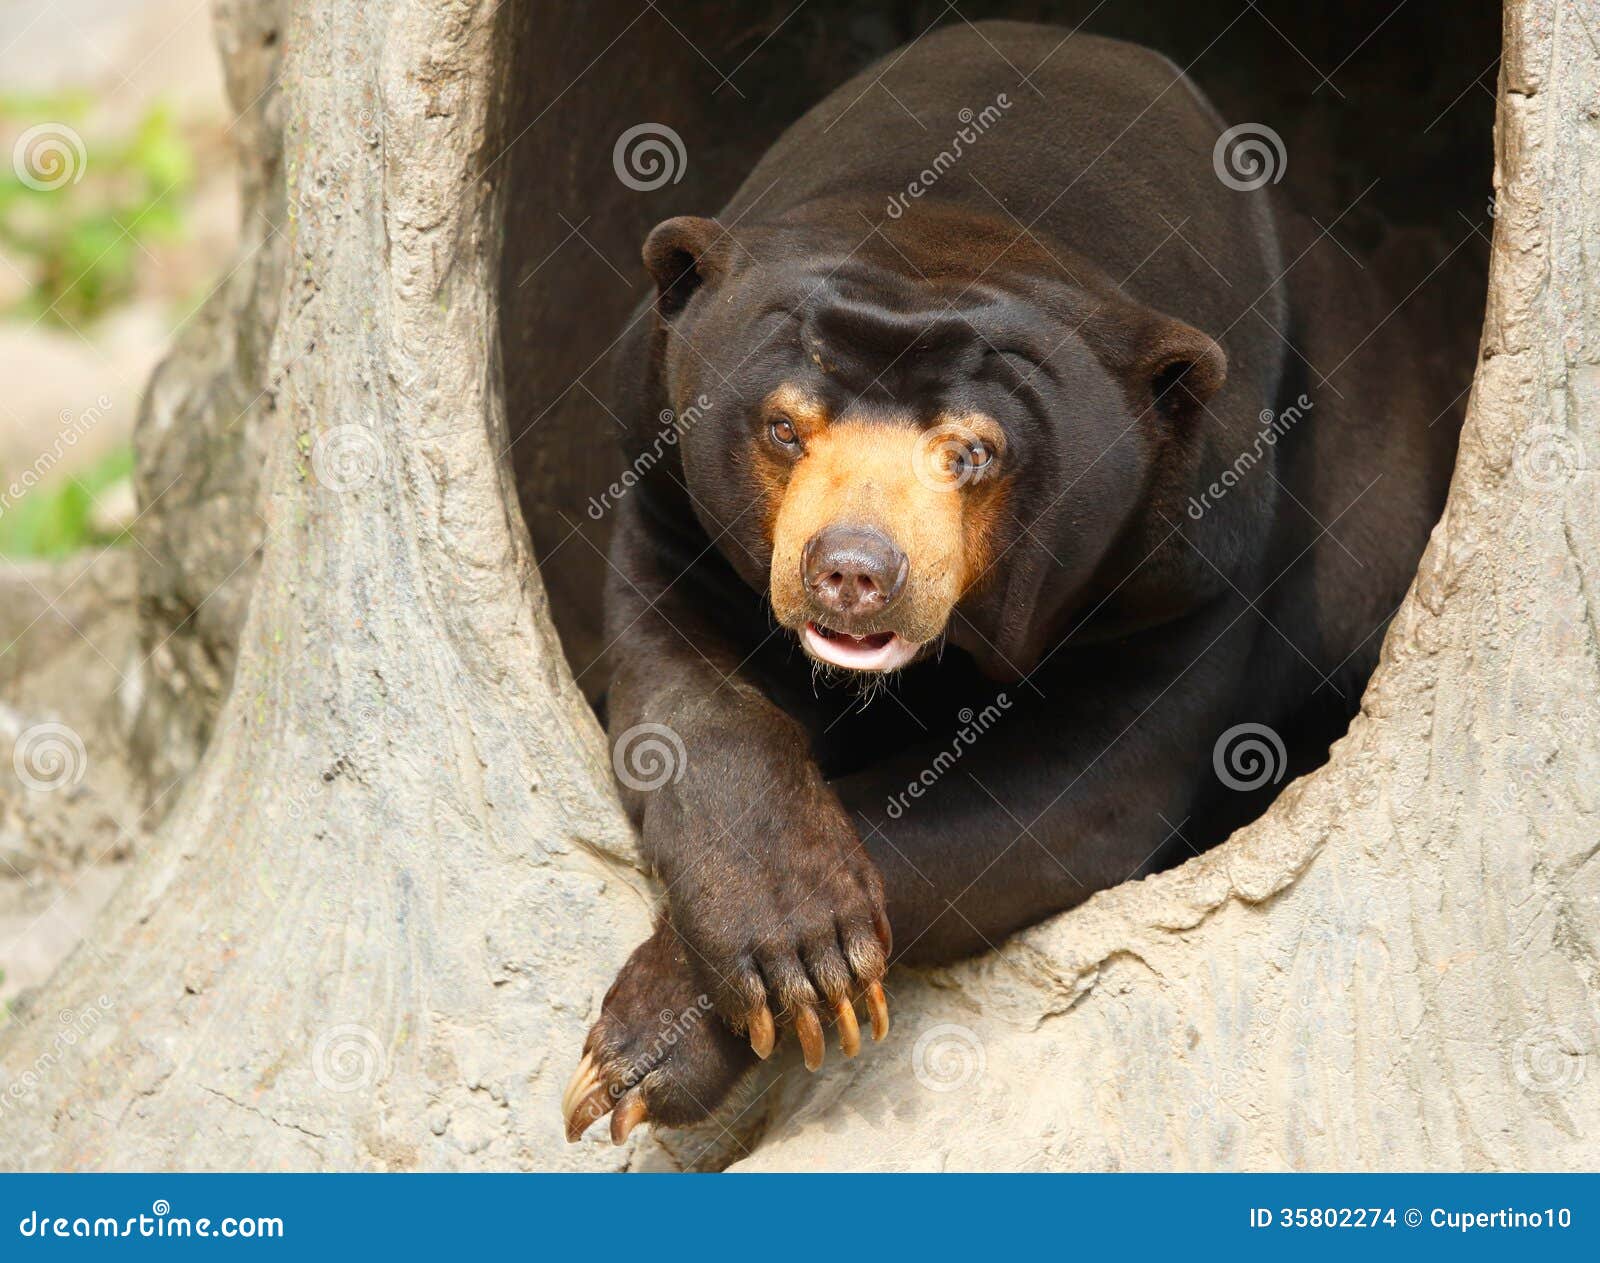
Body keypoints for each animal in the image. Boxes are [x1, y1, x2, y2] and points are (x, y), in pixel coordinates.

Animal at [561, 21, 1462, 1144]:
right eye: (782, 426)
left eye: (973, 452)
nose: (851, 572)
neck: (966, 212)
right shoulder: (662, 471)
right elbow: (686, 693)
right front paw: (773, 952)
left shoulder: (1190, 565)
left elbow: (1069, 793)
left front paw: (674, 1037)